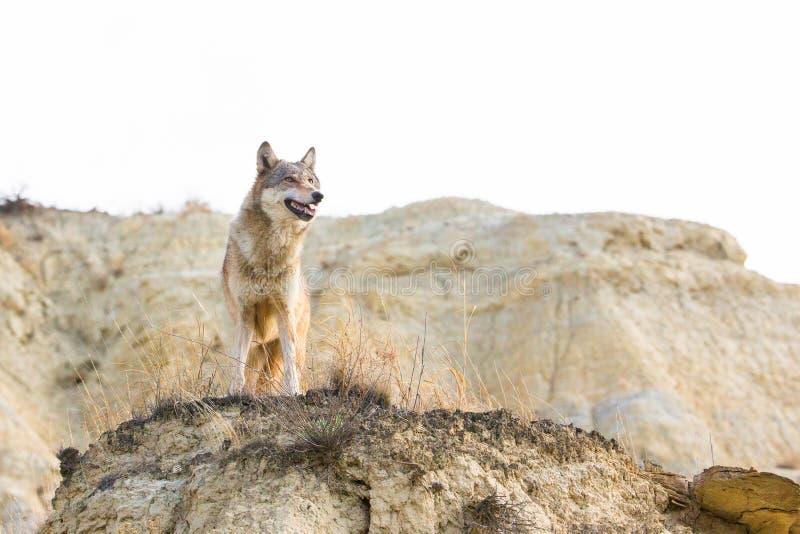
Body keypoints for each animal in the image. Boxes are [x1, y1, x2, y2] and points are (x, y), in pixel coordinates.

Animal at [222, 141, 323, 395]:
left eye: (311, 181)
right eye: (289, 179)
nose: (318, 195)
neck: (269, 251)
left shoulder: (284, 311)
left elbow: (290, 363)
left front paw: (293, 391)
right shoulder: (245, 314)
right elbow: (238, 362)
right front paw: (234, 392)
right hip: (257, 345)